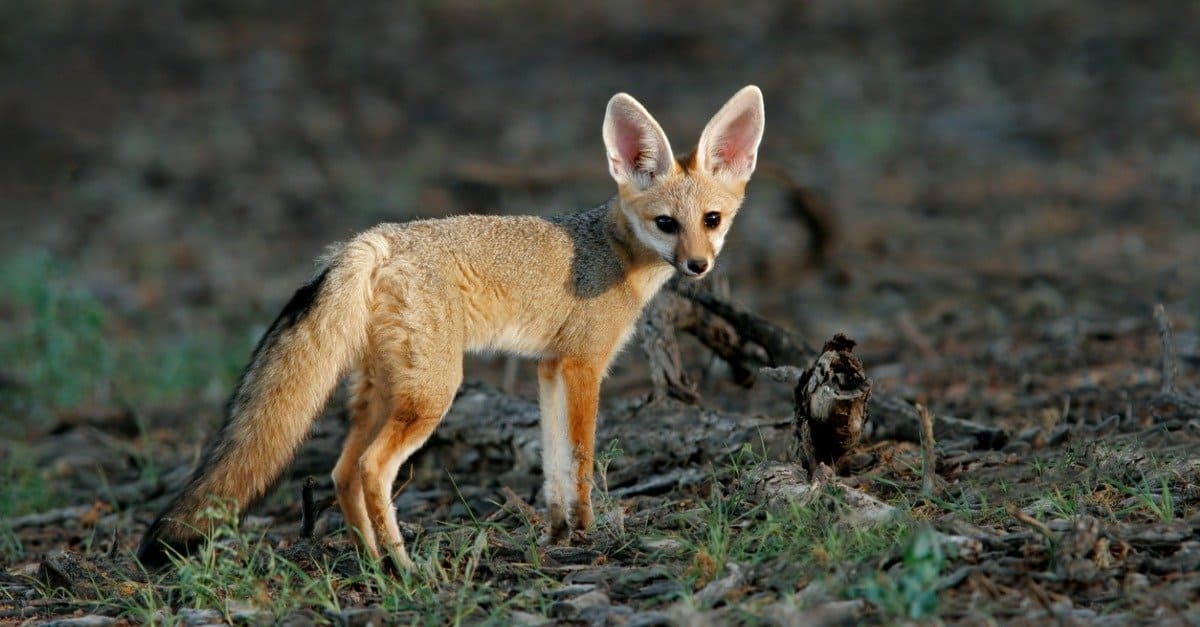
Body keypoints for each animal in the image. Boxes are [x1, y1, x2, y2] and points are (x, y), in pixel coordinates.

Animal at [138, 86, 766, 570]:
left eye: (711, 221)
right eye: (666, 224)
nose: (697, 266)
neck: (611, 250)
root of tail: (374, 239)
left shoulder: (548, 367)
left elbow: (553, 465)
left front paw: (558, 532)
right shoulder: (584, 365)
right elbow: (582, 460)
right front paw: (588, 533)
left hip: (384, 393)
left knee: (341, 472)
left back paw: (375, 563)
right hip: (434, 393)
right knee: (371, 469)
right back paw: (405, 566)